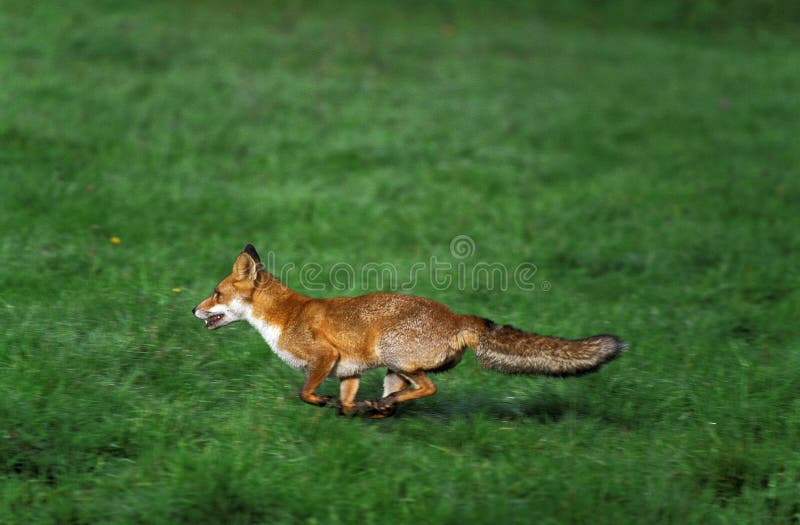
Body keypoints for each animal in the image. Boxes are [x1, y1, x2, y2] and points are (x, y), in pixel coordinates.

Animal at [193, 244, 625, 418]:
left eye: (216, 292)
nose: (192, 309)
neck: (285, 317)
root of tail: (458, 316)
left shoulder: (324, 357)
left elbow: (305, 393)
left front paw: (324, 403)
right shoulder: (348, 371)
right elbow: (344, 401)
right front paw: (348, 410)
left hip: (394, 354)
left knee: (429, 388)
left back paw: (383, 407)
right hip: (391, 370)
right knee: (402, 395)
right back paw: (379, 408)